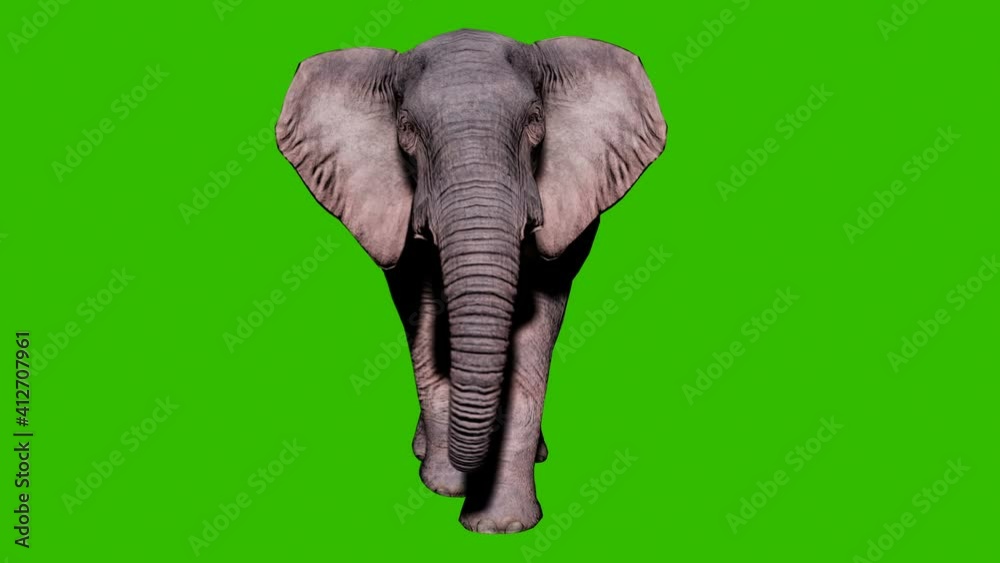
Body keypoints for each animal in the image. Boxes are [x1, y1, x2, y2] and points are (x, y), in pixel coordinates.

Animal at [276, 29, 666, 533]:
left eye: (535, 120)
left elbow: (536, 329)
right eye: (406, 128)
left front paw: (499, 525)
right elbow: (422, 317)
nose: (465, 473)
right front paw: (444, 487)